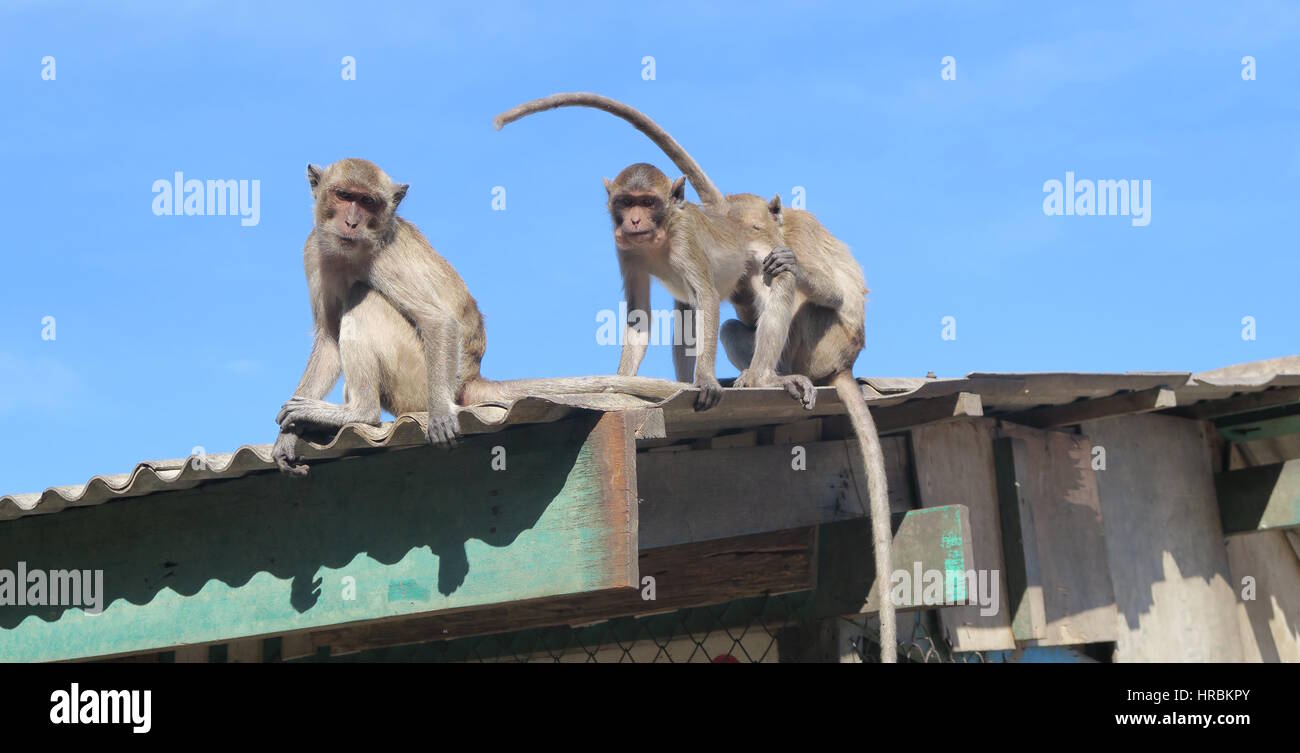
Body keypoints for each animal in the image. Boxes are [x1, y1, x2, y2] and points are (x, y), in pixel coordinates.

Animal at [271, 157, 686, 476]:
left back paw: (362, 412)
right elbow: (328, 338)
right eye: (344, 196)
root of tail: (469, 378)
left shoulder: (384, 256)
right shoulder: (314, 250)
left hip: (416, 381)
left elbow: (437, 321)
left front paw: (440, 415)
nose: (352, 222)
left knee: (366, 298)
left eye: (368, 202)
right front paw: (287, 437)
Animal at [495, 94, 896, 661]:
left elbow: (708, 294)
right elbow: (643, 315)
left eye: (648, 201)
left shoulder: (696, 243)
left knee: (770, 286)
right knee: (703, 311)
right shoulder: (626, 250)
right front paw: (624, 379)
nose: (633, 219)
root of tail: (844, 365)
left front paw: (706, 379)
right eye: (626, 202)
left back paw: (763, 377)